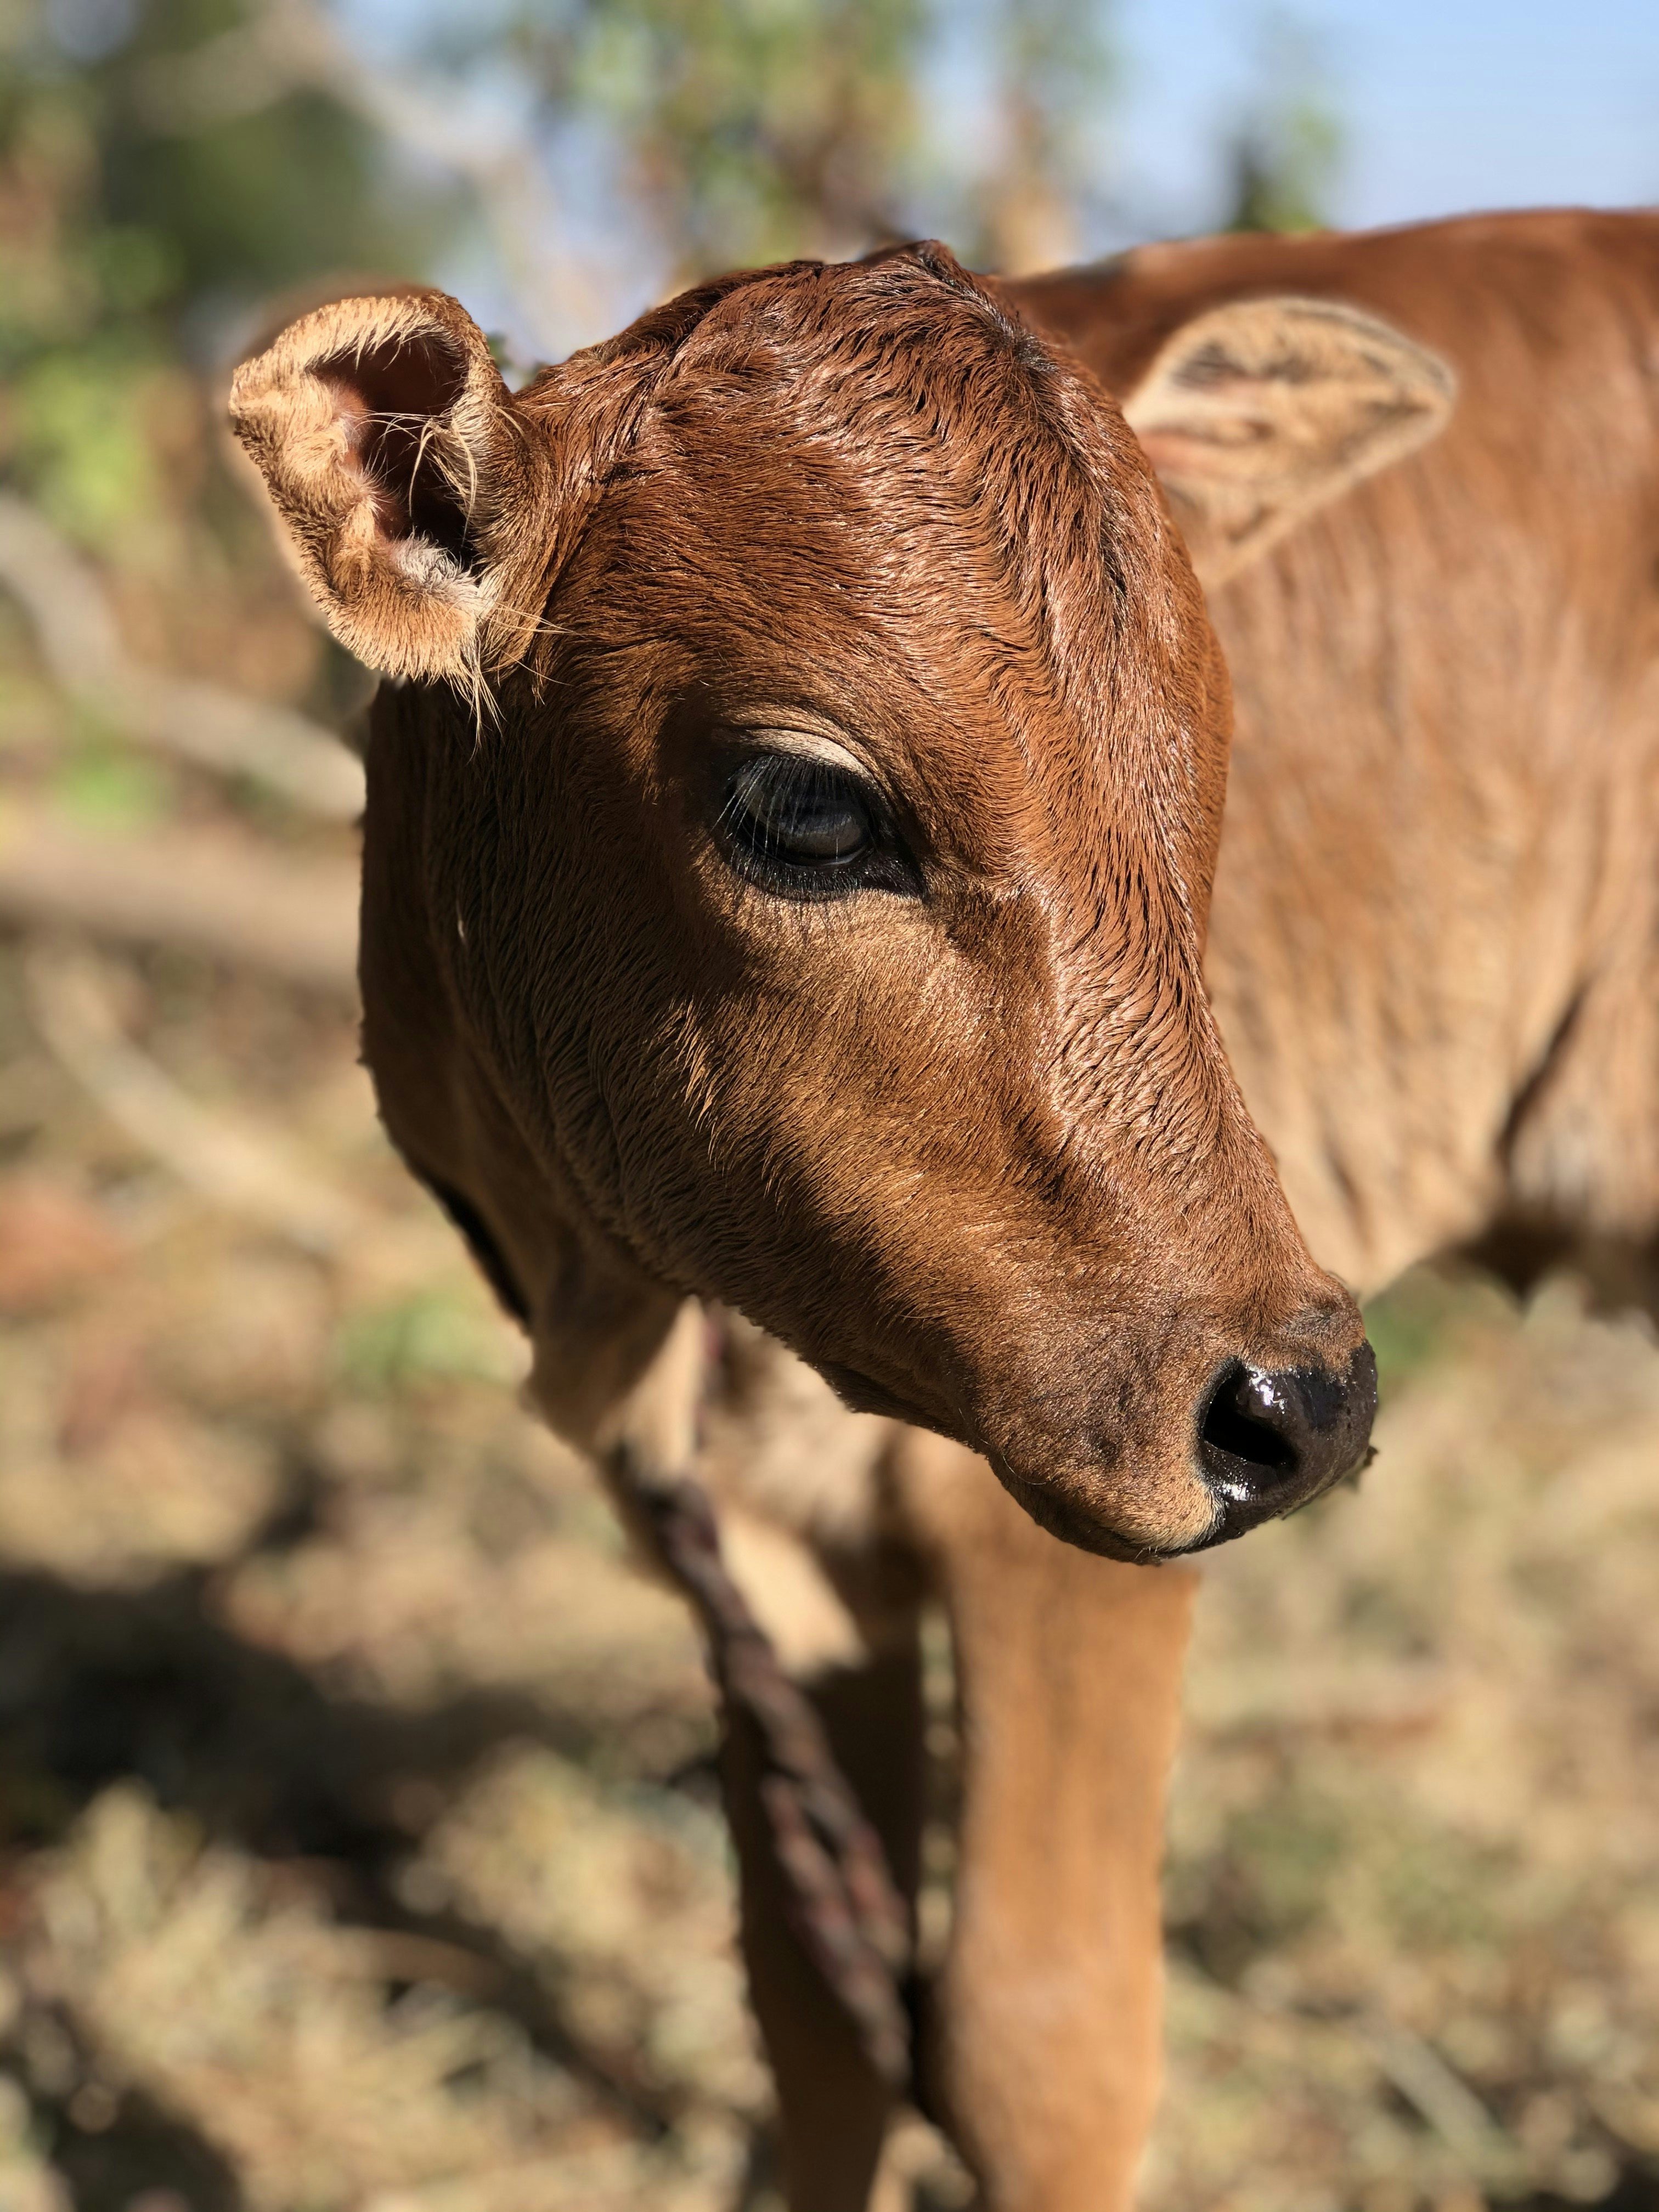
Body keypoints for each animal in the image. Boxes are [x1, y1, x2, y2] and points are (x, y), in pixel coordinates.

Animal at [229, 207, 1654, 2210]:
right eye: (808, 807)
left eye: (1212, 761)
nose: (1304, 1407)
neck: (660, 1321)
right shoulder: (772, 1555)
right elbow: (820, 2016)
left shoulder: (1059, 1518)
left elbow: (1037, 2040)